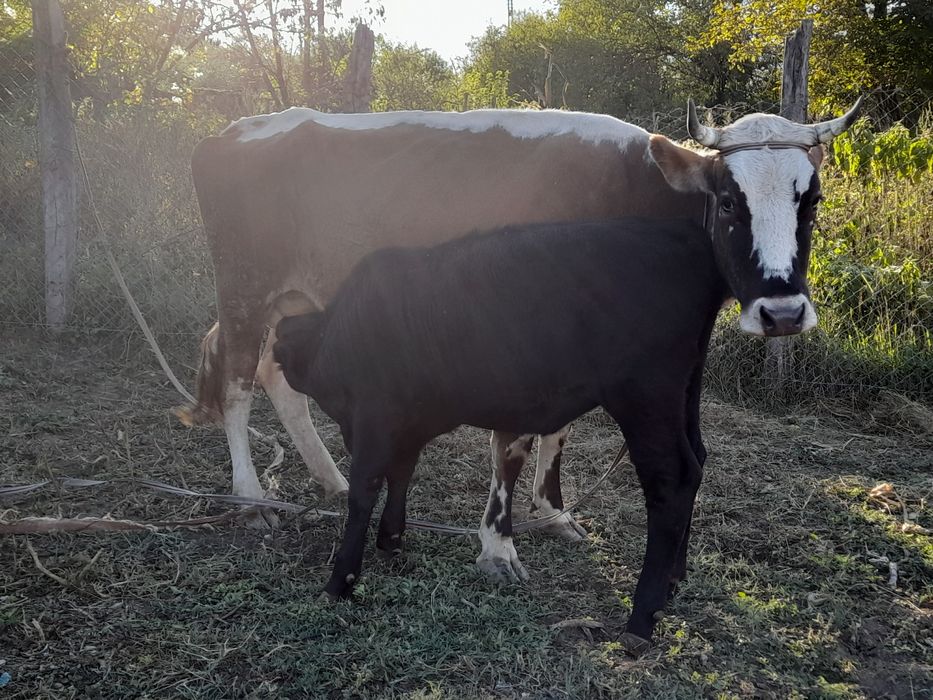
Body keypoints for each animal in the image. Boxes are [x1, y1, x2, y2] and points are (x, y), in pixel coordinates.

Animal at [179, 100, 861, 554]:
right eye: (727, 200)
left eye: (813, 199)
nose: (782, 313)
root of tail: (230, 132)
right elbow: (518, 434)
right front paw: (501, 537)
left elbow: (558, 429)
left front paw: (553, 513)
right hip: (245, 286)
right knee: (237, 382)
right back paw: (250, 500)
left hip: (295, 294)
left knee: (276, 375)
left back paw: (331, 479)